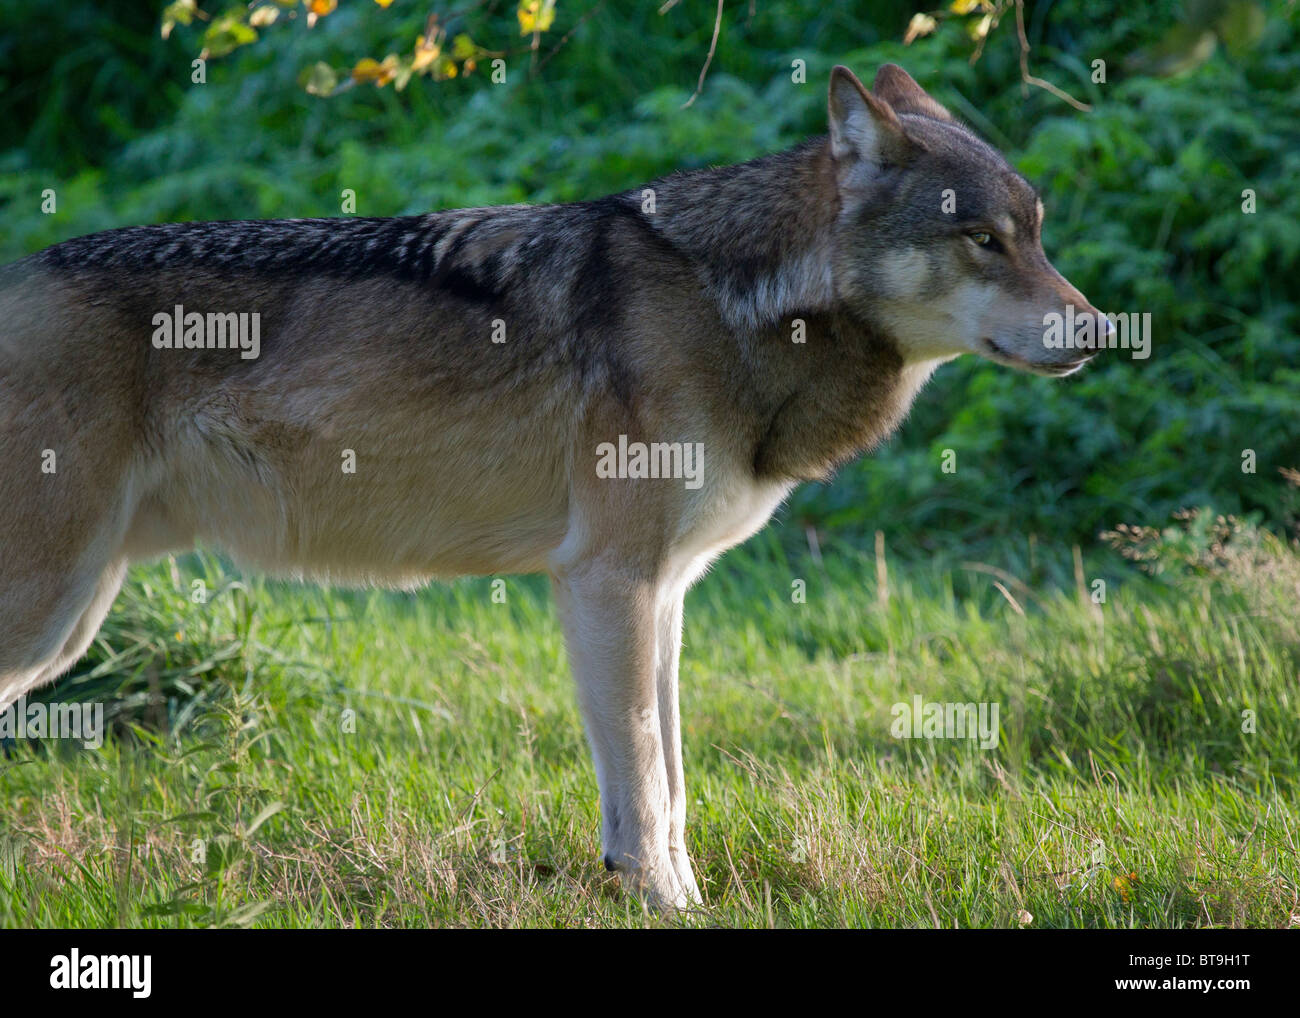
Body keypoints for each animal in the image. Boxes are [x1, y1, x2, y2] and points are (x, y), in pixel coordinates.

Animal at [0, 64, 1110, 911]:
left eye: (1038, 234)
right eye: (983, 240)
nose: (1102, 330)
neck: (735, 306)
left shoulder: (665, 593)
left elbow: (670, 782)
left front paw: (674, 899)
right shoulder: (607, 581)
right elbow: (647, 782)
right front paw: (665, 905)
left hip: (73, 621)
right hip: (52, 614)